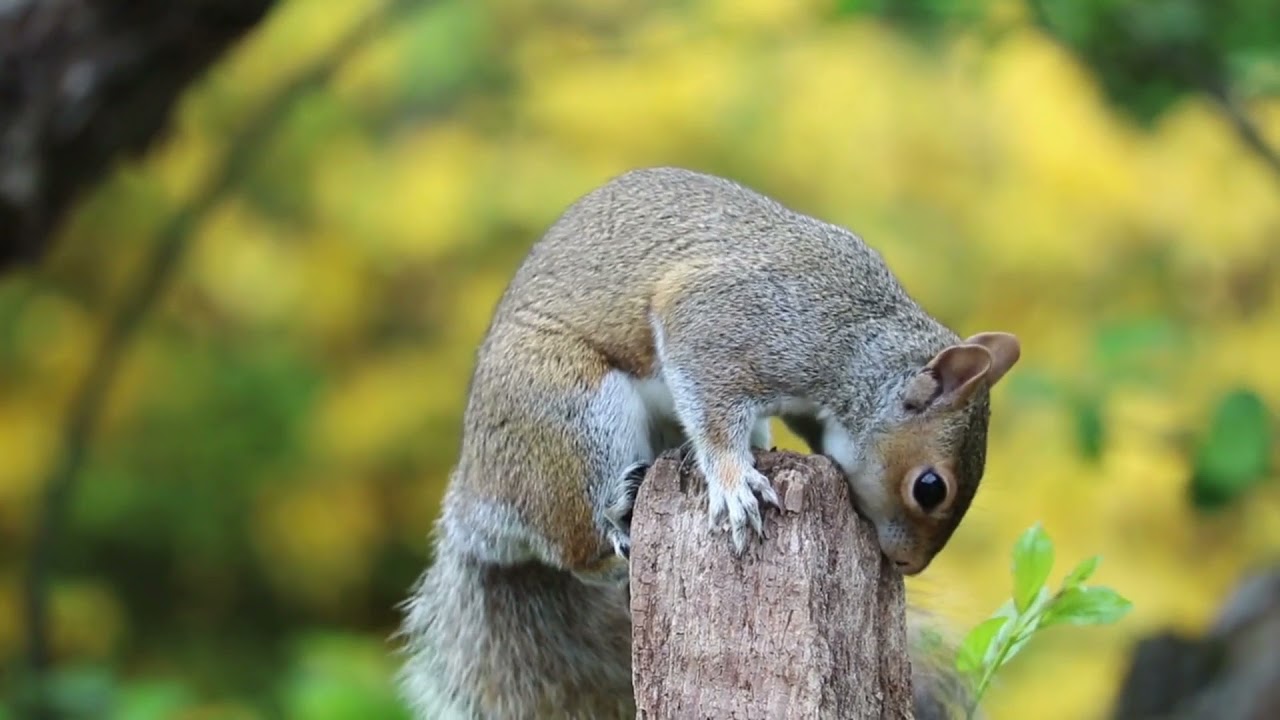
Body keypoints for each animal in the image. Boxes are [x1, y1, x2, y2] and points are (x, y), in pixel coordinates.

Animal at [397, 166, 1021, 720]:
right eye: (931, 488)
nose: (910, 564)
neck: (858, 343)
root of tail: (474, 502)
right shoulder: (735, 319)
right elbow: (713, 404)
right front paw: (732, 481)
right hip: (572, 417)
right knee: (578, 551)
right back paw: (618, 523)